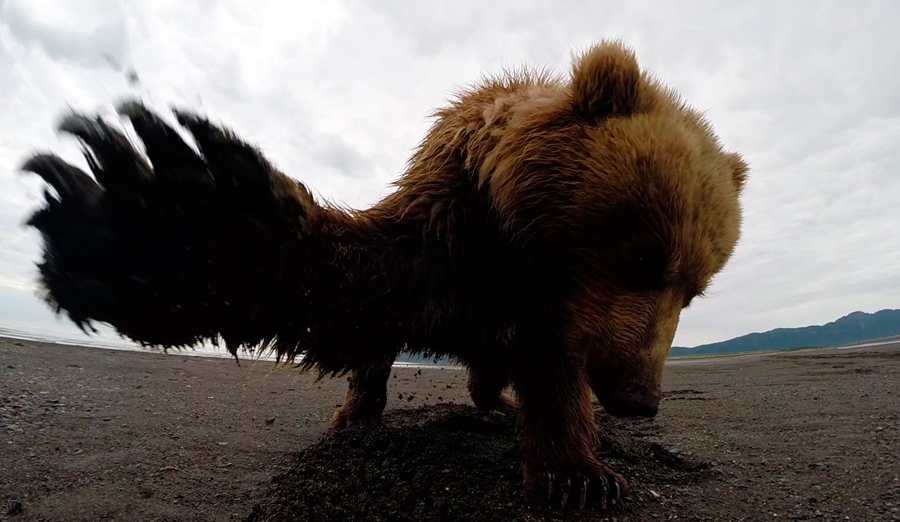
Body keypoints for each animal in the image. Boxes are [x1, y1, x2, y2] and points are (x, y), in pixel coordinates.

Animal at [19, 40, 747, 510]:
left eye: (695, 288)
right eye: (643, 256)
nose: (638, 397)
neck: (514, 238)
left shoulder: (550, 303)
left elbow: (554, 369)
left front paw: (582, 474)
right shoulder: (455, 222)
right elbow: (362, 285)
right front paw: (159, 222)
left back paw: (494, 403)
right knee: (377, 355)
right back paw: (359, 414)